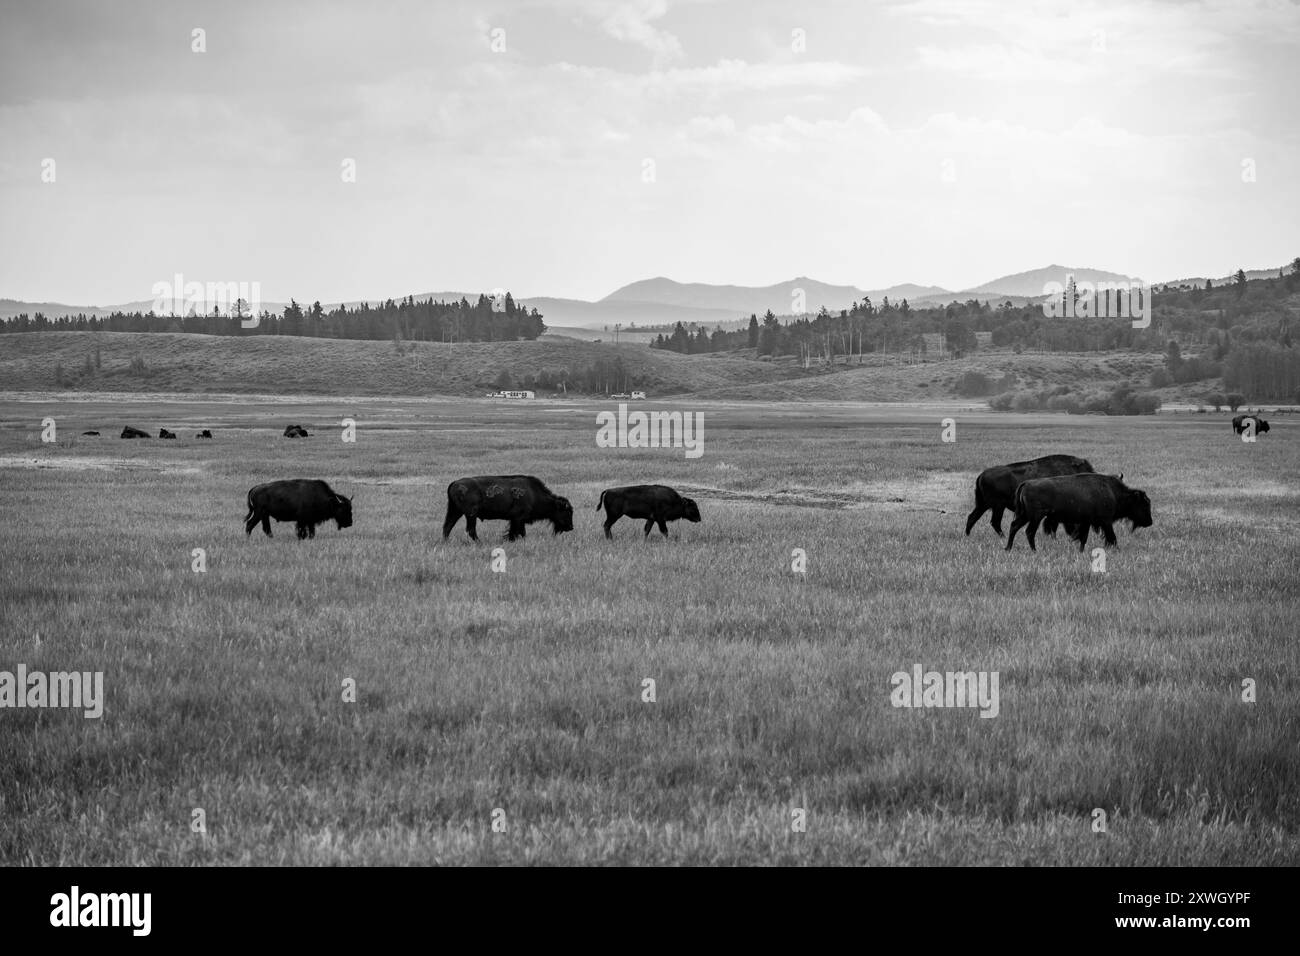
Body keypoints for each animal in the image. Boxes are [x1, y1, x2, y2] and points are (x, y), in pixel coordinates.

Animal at [443, 475, 574, 542]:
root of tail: (454, 483)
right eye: (566, 512)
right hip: (471, 514)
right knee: (470, 529)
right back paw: (479, 542)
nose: (571, 527)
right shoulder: (518, 519)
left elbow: (516, 532)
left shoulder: (515, 520)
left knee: (448, 526)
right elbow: (519, 532)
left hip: (455, 511)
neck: (533, 494)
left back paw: (446, 541)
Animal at [965, 454, 1094, 536]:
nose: (1077, 535)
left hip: (984, 505)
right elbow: (1051, 526)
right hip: (997, 506)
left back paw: (968, 535)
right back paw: (1002, 537)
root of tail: (981, 475)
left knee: (973, 517)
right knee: (994, 522)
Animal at [1006, 473, 1152, 552]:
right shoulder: (1106, 522)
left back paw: (1008, 548)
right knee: (1029, 531)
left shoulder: (1086, 523)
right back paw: (1034, 551)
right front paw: (1117, 550)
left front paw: (1080, 551)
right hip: (1035, 517)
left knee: (1014, 526)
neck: (1113, 493)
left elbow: (1083, 538)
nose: (1150, 522)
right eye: (1144, 504)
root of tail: (1026, 483)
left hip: (1025, 516)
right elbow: (1112, 537)